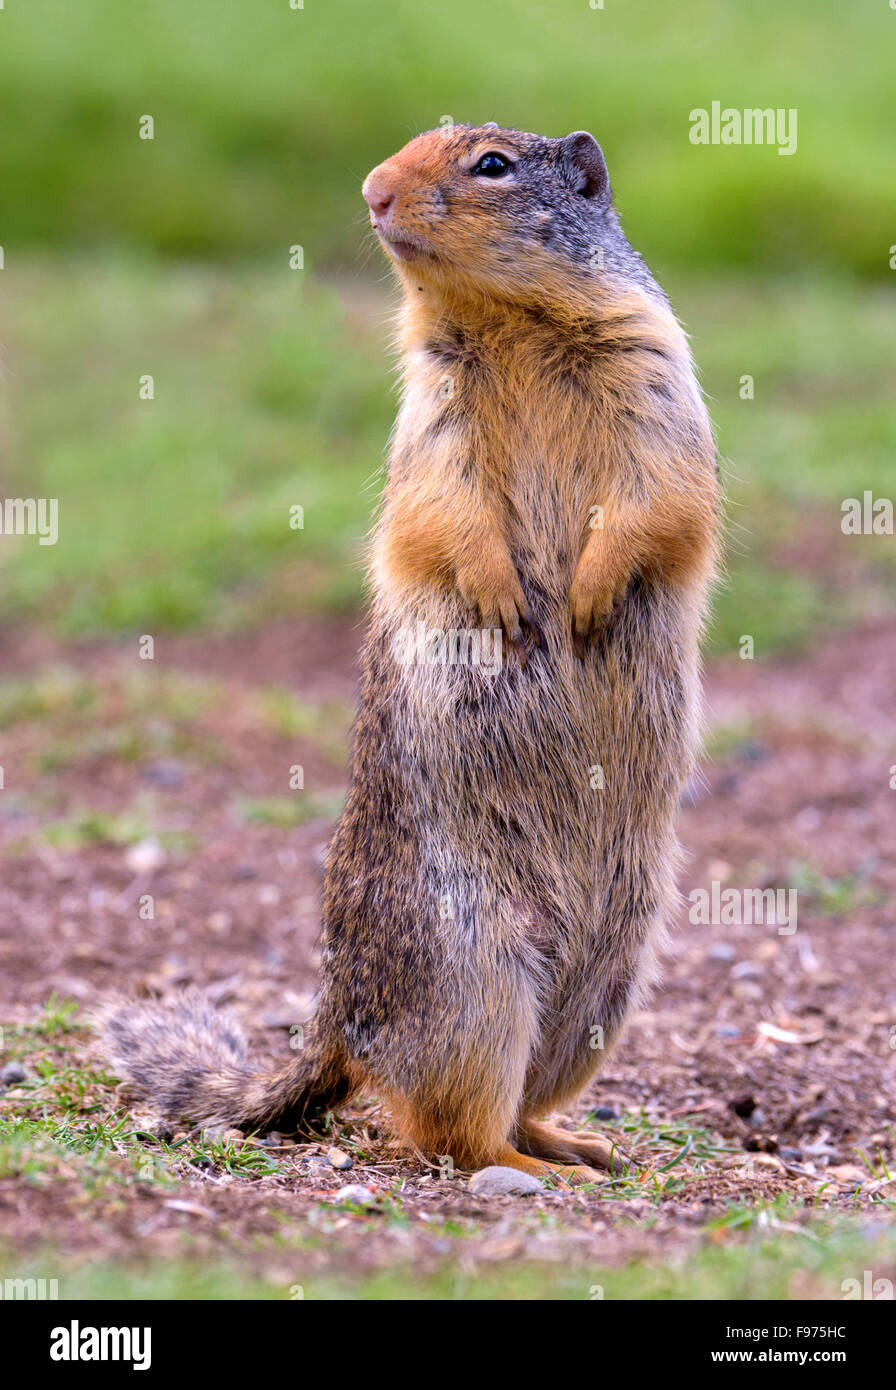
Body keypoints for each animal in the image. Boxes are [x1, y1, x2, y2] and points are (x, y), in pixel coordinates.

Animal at [102, 124, 719, 1182]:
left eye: (493, 165)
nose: (373, 191)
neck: (509, 322)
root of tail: (337, 1024)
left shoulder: (654, 368)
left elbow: (658, 493)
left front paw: (587, 597)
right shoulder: (431, 410)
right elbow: (445, 508)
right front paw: (508, 600)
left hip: (608, 987)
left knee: (513, 1105)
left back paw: (578, 1145)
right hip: (472, 975)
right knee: (448, 1128)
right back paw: (534, 1167)